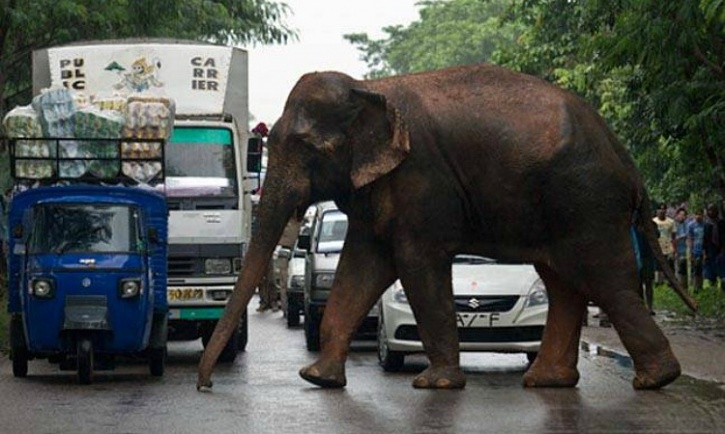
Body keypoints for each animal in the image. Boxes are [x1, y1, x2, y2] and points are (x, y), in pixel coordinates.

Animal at [197, 63, 697, 391]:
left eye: (306, 148)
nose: (206, 385)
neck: (370, 90)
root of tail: (625, 157)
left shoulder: (422, 178)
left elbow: (417, 263)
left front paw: (434, 384)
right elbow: (360, 265)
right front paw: (318, 379)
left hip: (586, 199)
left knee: (604, 277)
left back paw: (655, 380)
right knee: (562, 282)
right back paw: (547, 382)